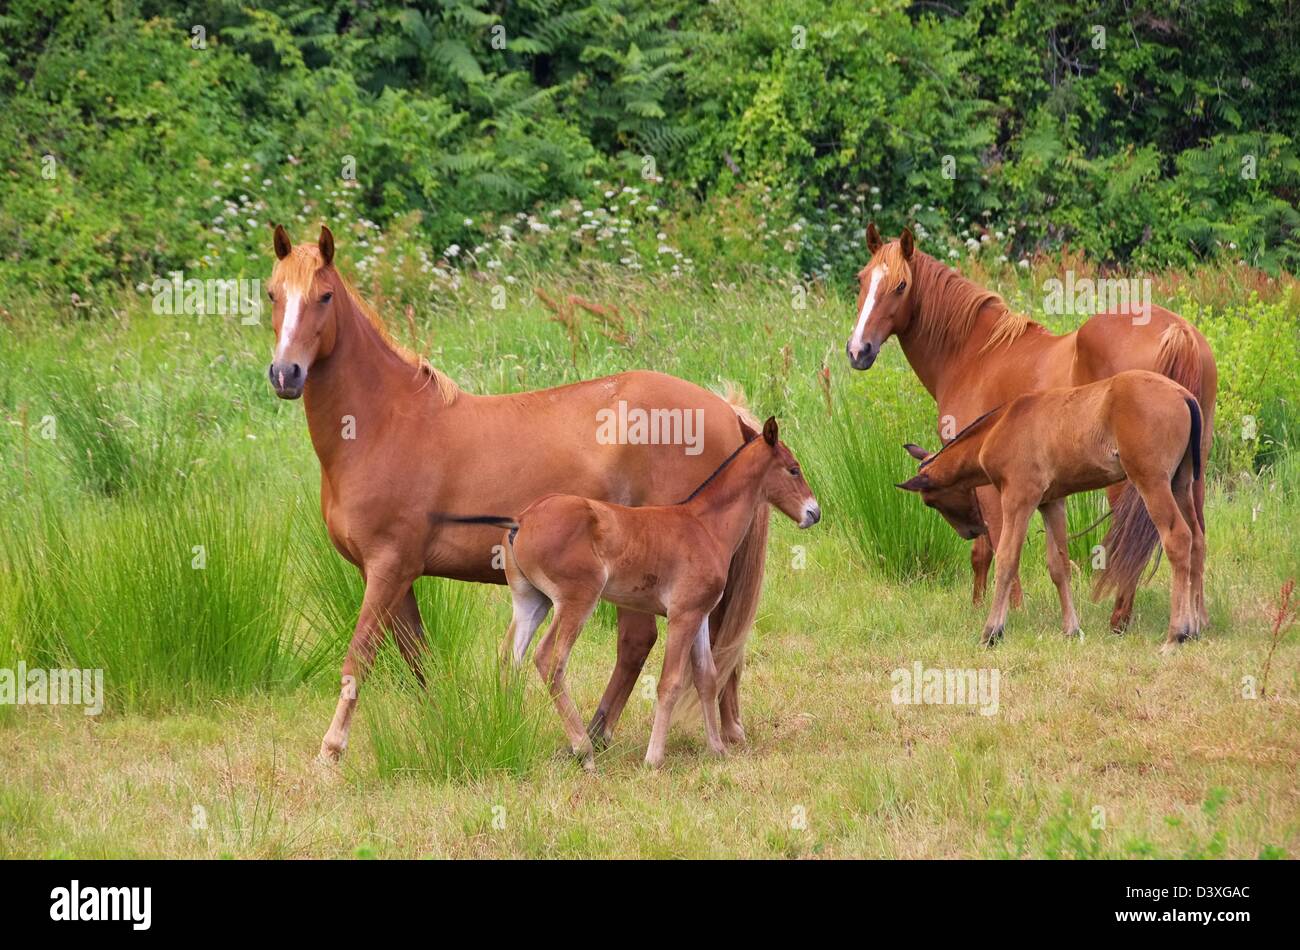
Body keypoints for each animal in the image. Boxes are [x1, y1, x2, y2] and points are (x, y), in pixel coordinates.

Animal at [265, 225, 769, 762]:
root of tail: (724, 410)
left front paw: (331, 750)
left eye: (324, 296)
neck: (386, 423)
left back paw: (596, 737)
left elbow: (359, 655)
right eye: (273, 293)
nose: (285, 374)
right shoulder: (390, 574)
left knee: (640, 643)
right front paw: (445, 727)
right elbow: (418, 658)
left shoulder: (388, 568)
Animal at [445, 417, 819, 769]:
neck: (705, 526)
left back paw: (509, 727)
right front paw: (654, 758)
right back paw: (584, 750)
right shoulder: (682, 616)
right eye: (794, 468)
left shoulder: (698, 615)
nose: (813, 513)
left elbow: (707, 677)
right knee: (550, 659)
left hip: (531, 602)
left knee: (509, 657)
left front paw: (717, 750)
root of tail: (521, 519)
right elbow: (670, 682)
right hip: (578, 600)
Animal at [897, 370, 1206, 653]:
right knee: (1198, 541)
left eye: (930, 502)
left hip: (1152, 482)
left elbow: (1007, 560)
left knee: (1178, 538)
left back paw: (1175, 635)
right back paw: (1194, 627)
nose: (971, 531)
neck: (1002, 425)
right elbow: (1059, 565)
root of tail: (1183, 395)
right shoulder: (1052, 502)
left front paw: (992, 632)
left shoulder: (1019, 498)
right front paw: (1071, 629)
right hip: (1180, 484)